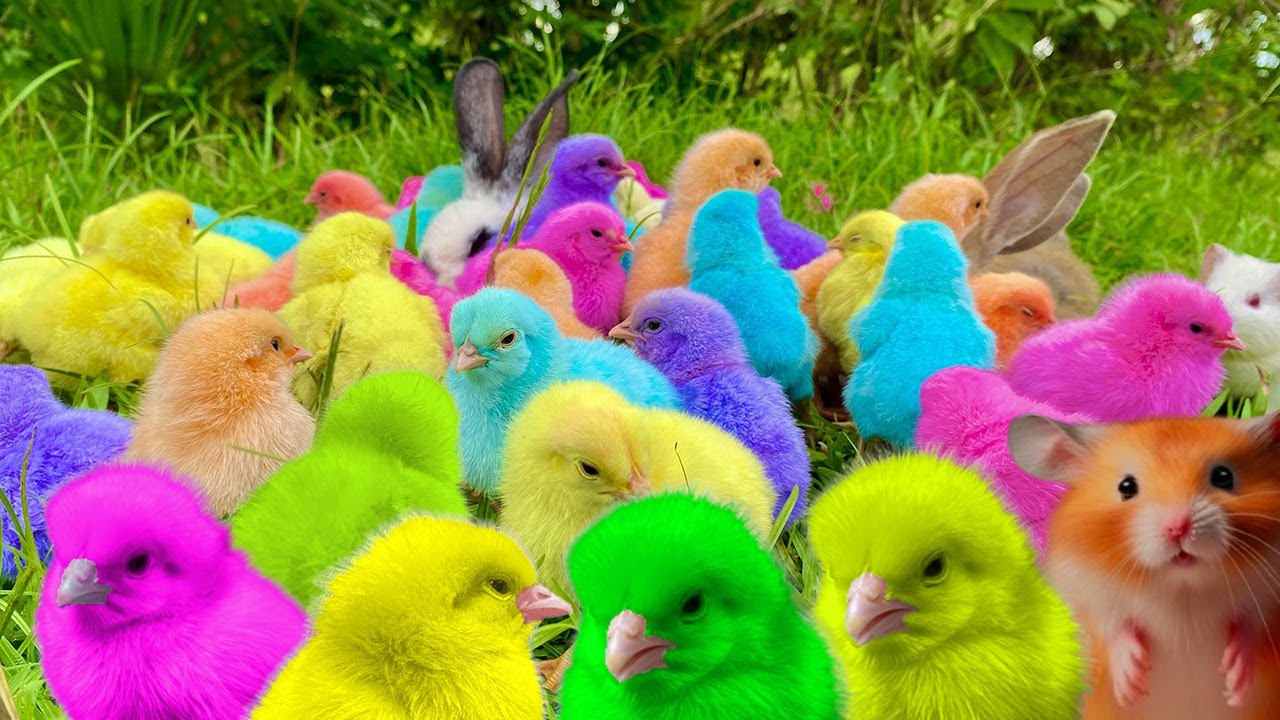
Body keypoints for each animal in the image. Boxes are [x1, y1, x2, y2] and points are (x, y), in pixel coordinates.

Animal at [1009, 412, 1280, 720]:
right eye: (1126, 487)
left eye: (1224, 477)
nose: (1178, 528)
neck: (1180, 587)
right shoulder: (1082, 591)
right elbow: (1112, 626)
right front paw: (1131, 685)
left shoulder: (1268, 595)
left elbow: (1250, 625)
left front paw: (1235, 682)